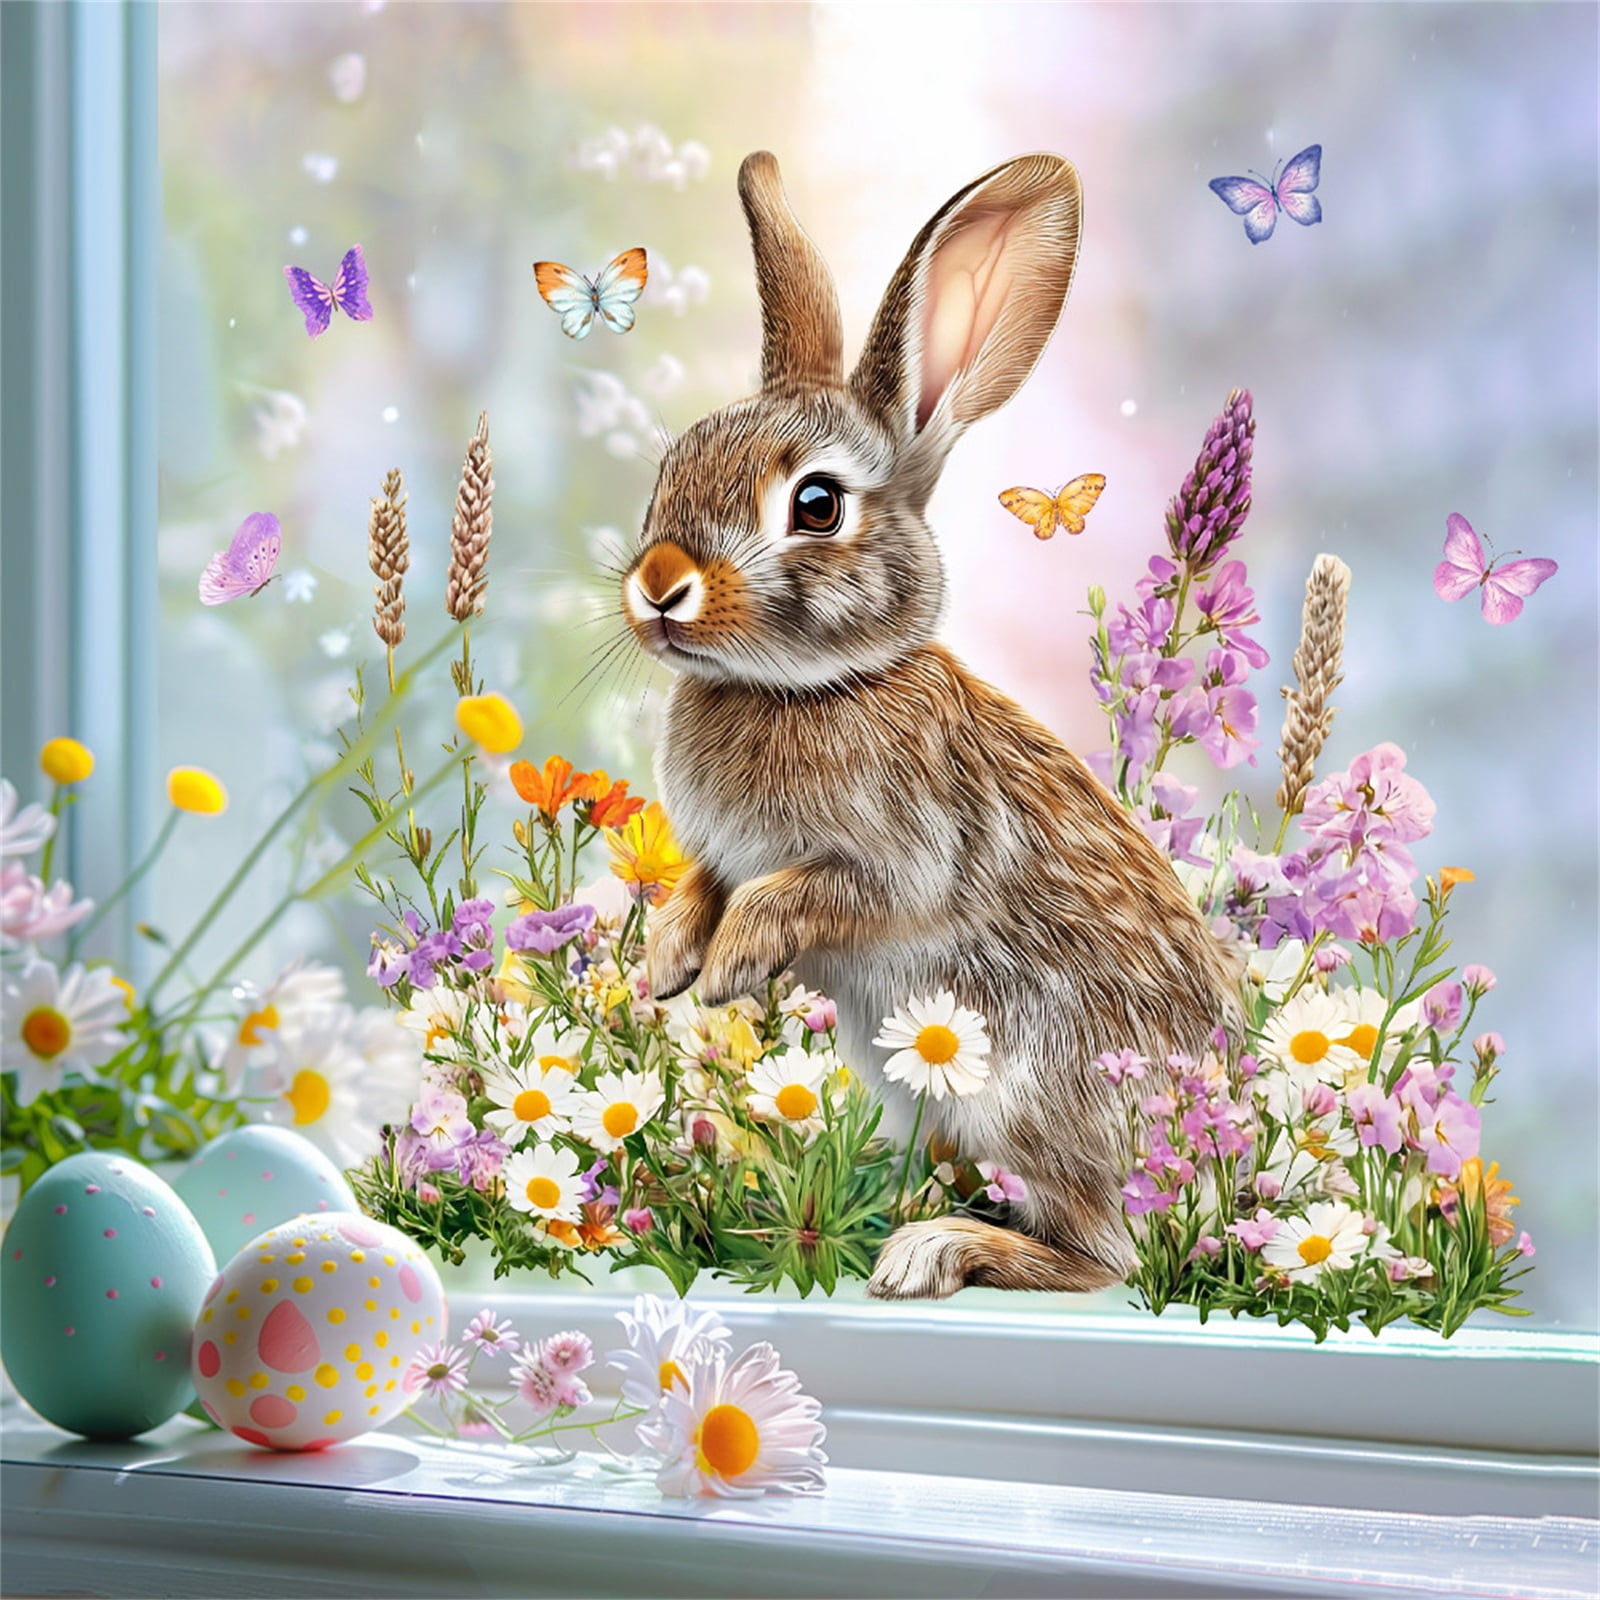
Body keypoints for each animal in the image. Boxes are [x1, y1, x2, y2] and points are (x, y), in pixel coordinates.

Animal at [620, 150, 1242, 1299]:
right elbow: (703, 886)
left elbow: (805, 894)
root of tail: (1213, 1165)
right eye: (670, 467)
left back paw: (933, 1248)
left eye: (816, 504)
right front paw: (669, 962)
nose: (658, 585)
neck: (809, 686)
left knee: (1103, 1257)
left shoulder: (903, 855)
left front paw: (729, 966)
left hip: (1029, 1088)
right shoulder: (721, 853)